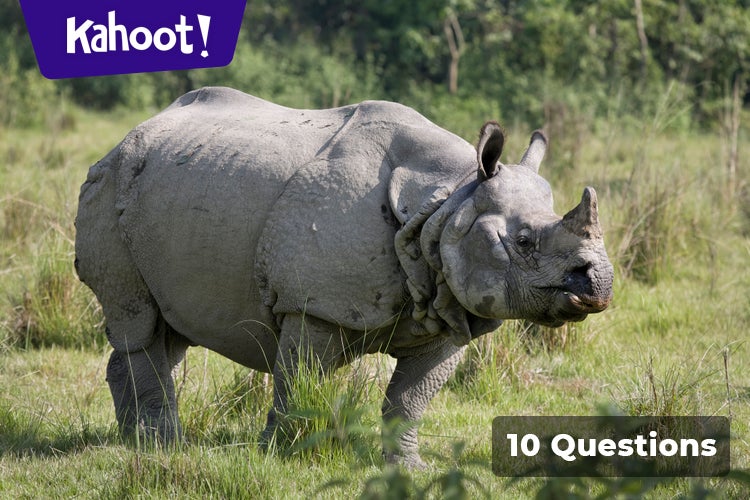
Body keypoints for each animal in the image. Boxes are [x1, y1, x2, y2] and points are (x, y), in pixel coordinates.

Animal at [74, 87, 613, 468]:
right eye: (523, 242)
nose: (600, 285)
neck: (448, 201)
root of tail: (121, 140)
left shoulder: (450, 303)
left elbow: (410, 398)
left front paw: (409, 468)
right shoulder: (314, 304)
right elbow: (297, 381)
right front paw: (280, 455)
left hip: (171, 190)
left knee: (168, 328)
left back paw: (136, 442)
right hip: (110, 184)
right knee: (139, 320)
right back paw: (163, 447)